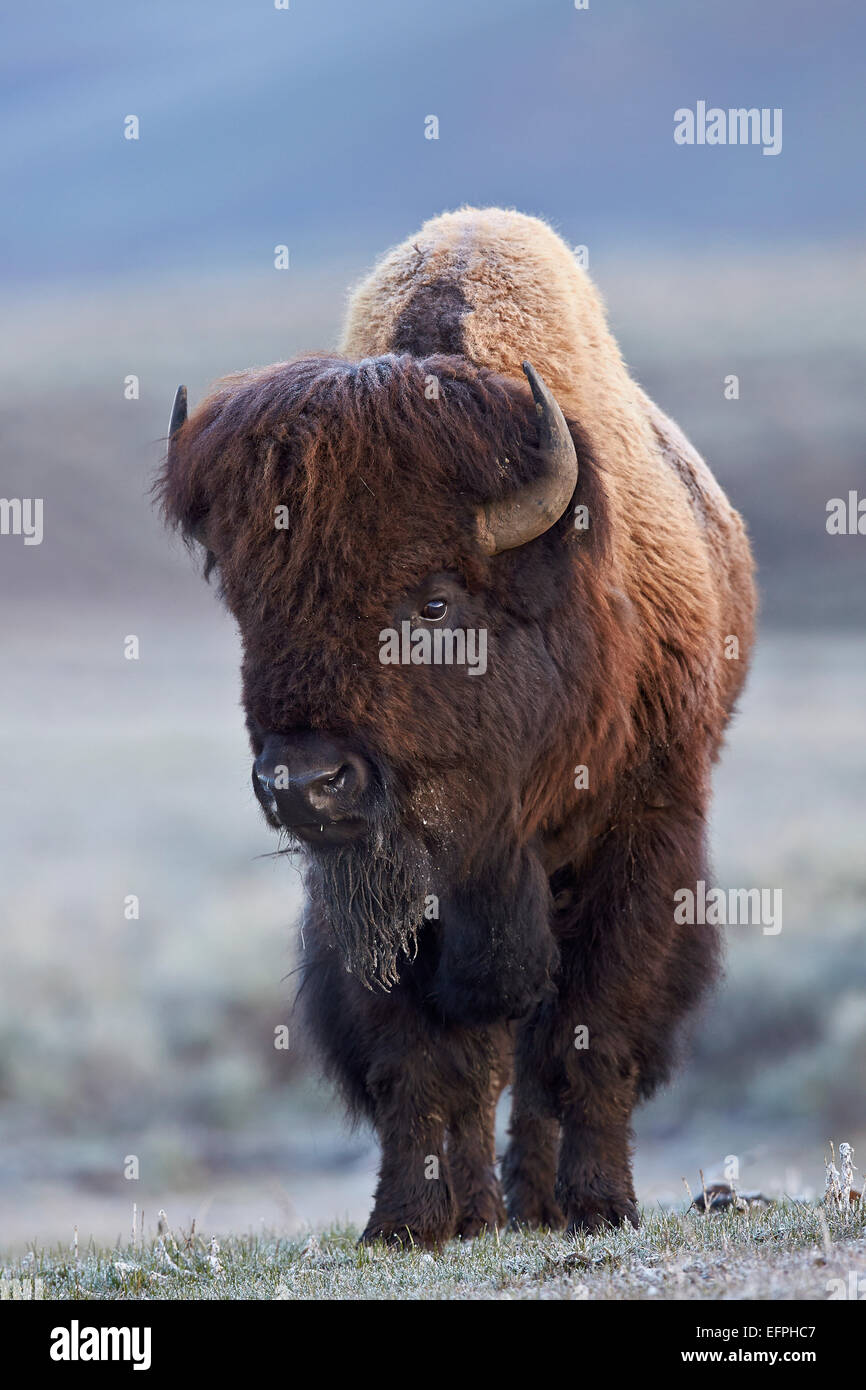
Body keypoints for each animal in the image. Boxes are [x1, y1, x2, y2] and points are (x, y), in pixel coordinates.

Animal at [159, 207, 756, 1247]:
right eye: (250, 607)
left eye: (434, 603)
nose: (305, 784)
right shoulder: (382, 894)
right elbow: (426, 1062)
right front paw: (411, 1222)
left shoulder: (644, 834)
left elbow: (589, 1034)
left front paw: (599, 1206)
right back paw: (487, 1207)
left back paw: (545, 1202)